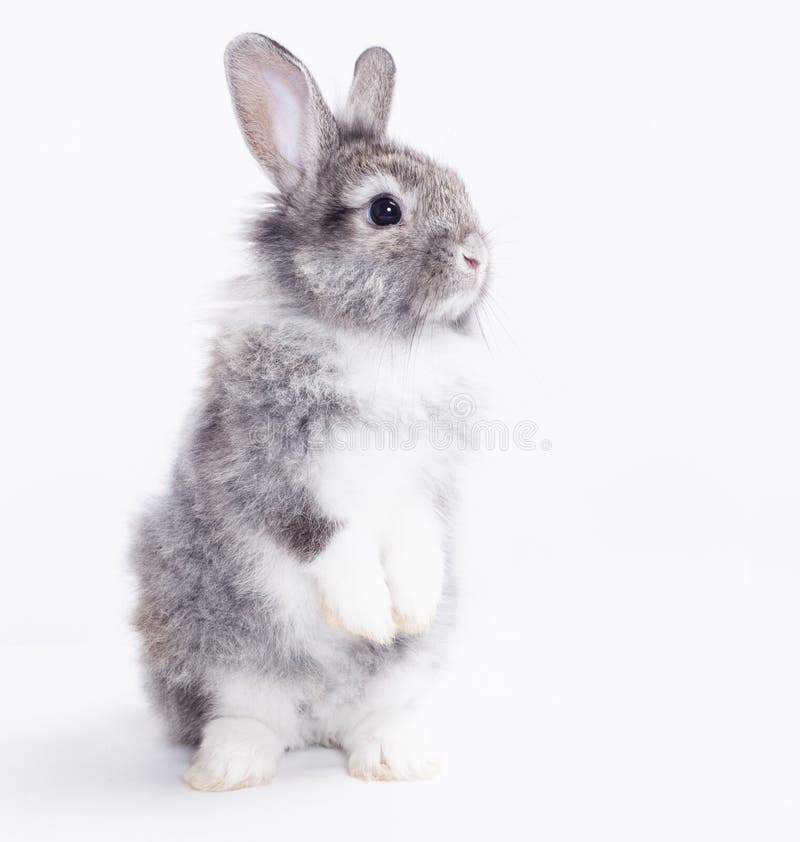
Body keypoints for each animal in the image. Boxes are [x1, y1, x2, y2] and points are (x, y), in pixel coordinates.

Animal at [130, 32, 491, 789]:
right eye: (384, 210)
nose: (477, 257)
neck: (374, 340)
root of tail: (314, 718)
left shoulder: (427, 487)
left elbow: (416, 539)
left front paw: (407, 610)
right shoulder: (265, 472)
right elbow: (328, 537)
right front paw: (370, 616)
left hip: (399, 674)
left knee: (375, 711)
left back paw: (393, 756)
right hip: (220, 647)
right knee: (245, 714)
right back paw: (229, 769)